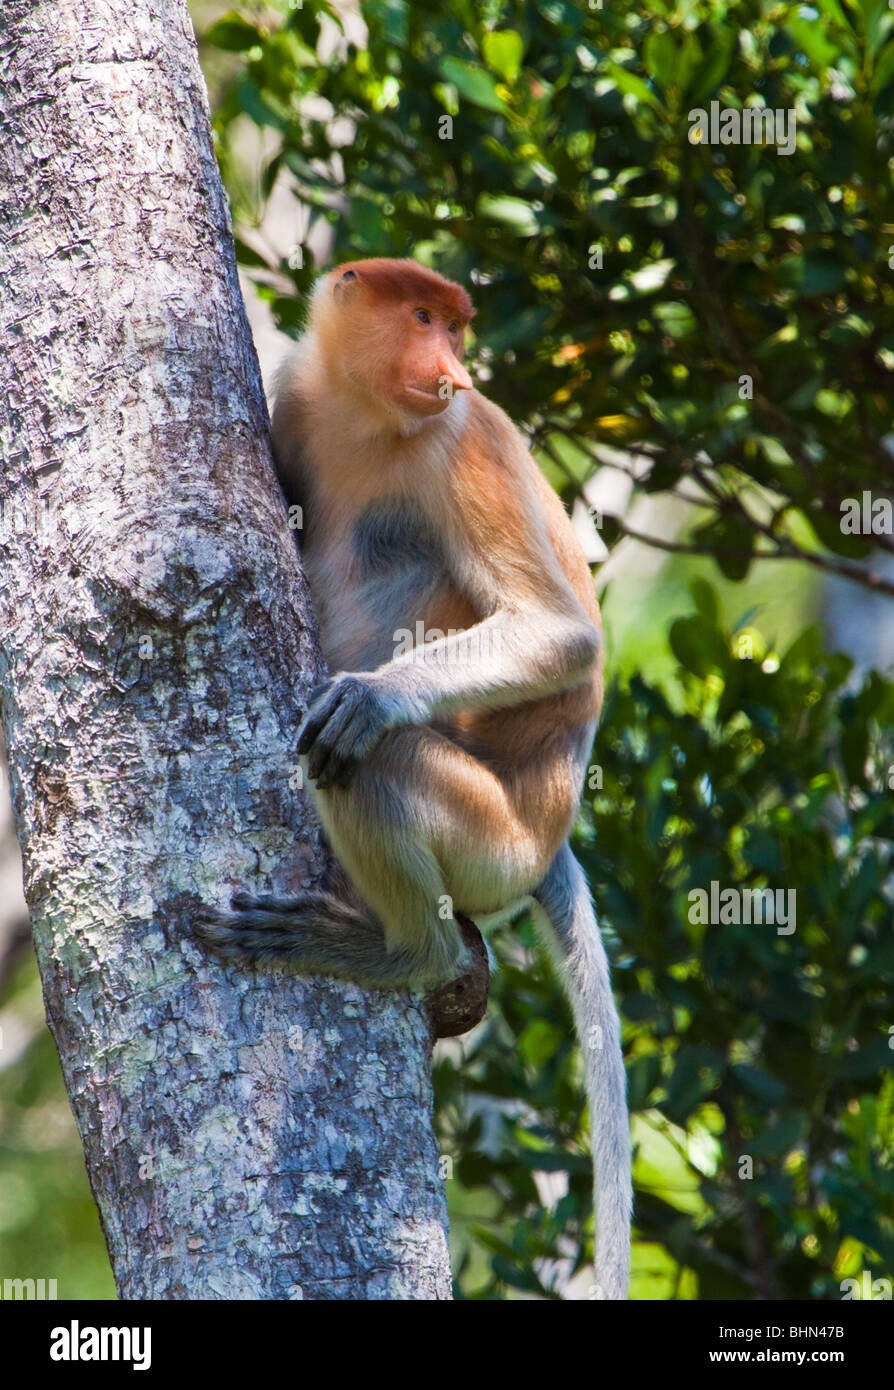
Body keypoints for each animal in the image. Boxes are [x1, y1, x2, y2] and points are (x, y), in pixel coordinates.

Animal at [198, 258, 631, 1300]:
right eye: (425, 315)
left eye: (457, 326)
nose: (451, 367)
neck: (371, 418)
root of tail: (550, 839)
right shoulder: (298, 395)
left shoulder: (462, 439)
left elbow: (561, 633)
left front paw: (368, 698)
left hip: (492, 840)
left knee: (369, 767)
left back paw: (401, 952)